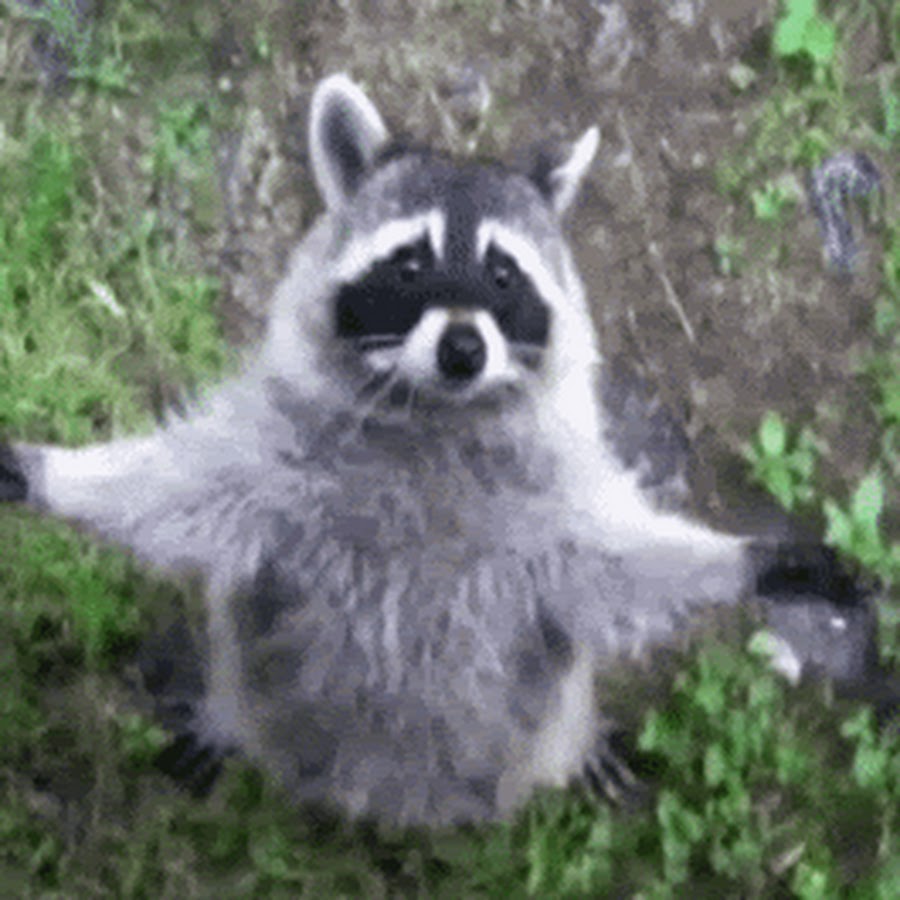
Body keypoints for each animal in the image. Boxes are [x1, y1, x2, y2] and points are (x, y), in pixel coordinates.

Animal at [0, 74, 870, 826]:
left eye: (503, 274)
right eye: (411, 262)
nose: (462, 349)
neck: (434, 418)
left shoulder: (550, 503)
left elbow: (621, 561)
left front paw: (749, 561)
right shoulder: (277, 458)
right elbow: (179, 488)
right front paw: (54, 474)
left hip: (534, 726)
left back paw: (573, 747)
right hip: (260, 683)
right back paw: (226, 719)